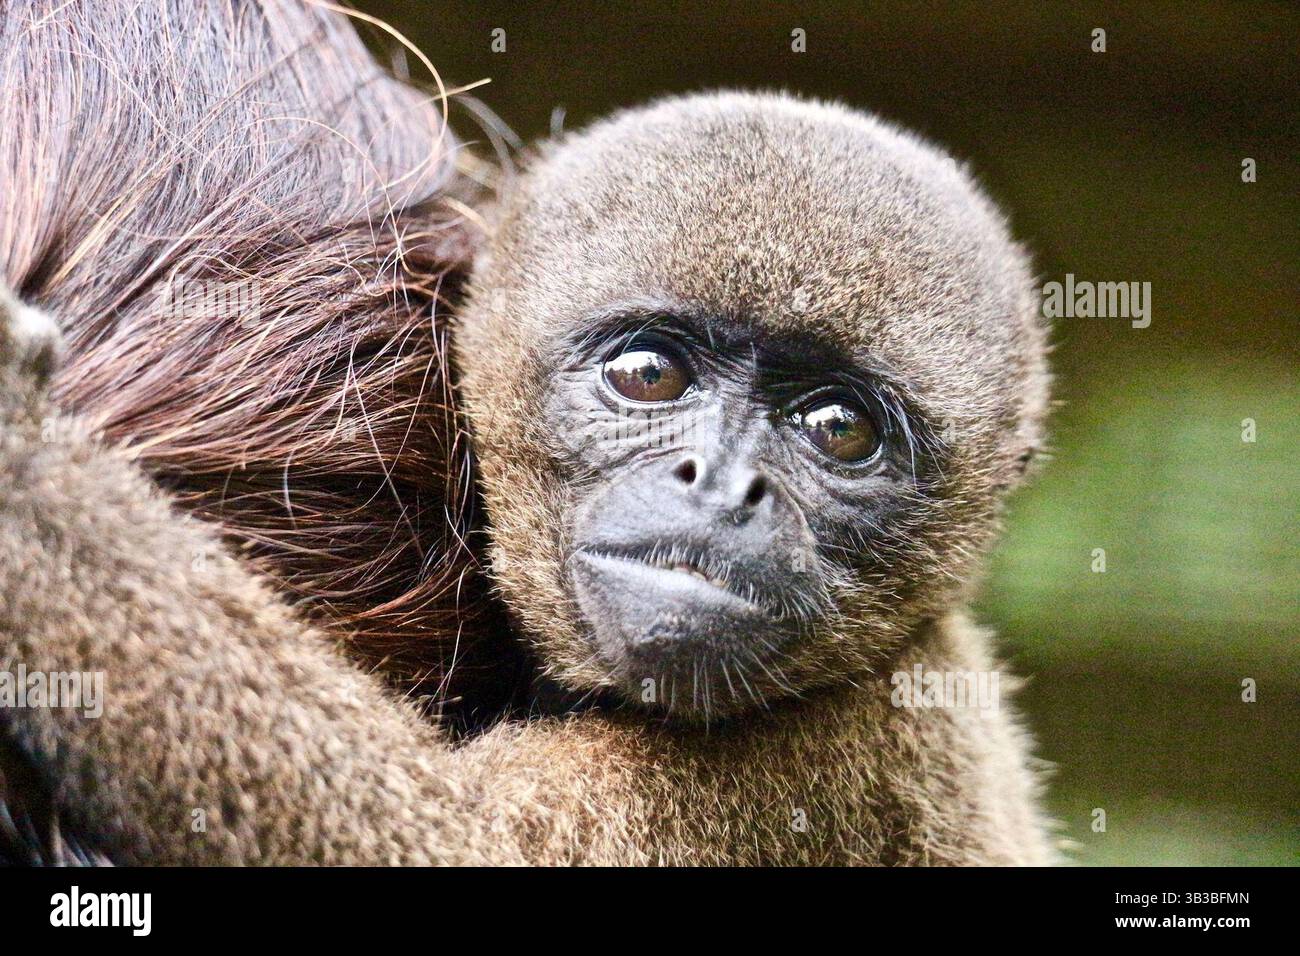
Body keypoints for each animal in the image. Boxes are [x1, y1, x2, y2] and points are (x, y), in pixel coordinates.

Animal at [0, 51, 1055, 863]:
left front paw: (26, 471)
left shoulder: (849, 753)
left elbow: (442, 840)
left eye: (840, 430)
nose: (723, 488)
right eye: (648, 373)